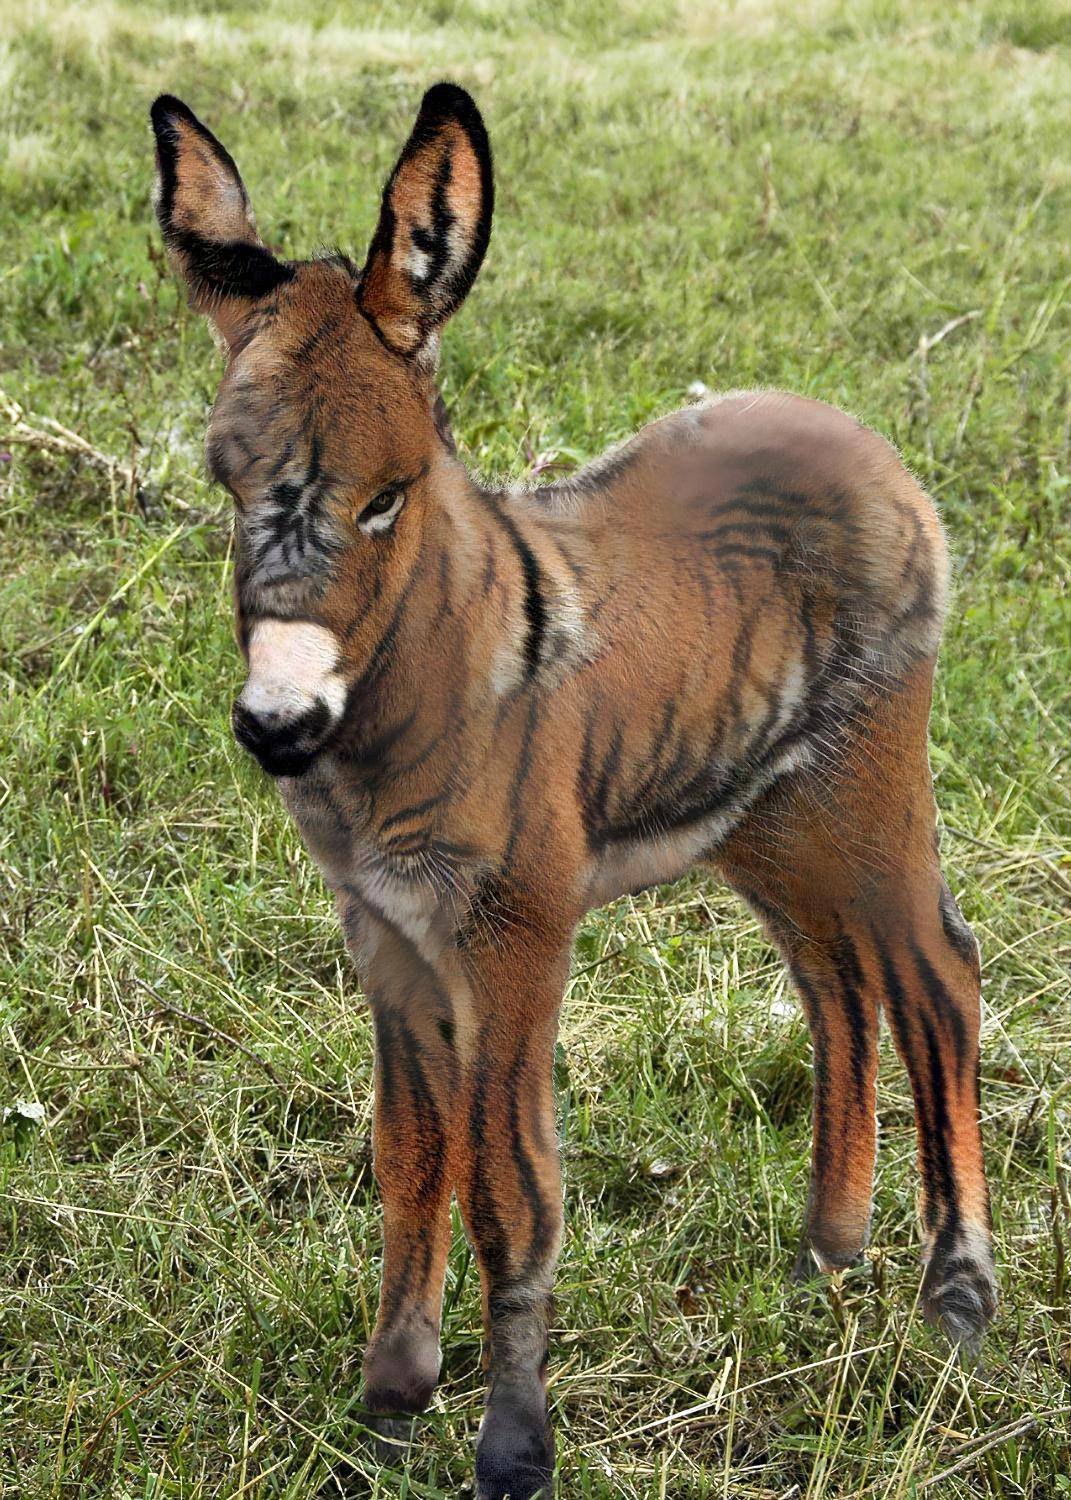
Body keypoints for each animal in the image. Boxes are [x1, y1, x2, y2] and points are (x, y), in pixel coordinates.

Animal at [150, 82, 996, 1500]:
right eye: (224, 483)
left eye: (388, 500)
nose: (277, 727)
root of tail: (854, 433)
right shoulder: (387, 938)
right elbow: (407, 1162)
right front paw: (391, 1401)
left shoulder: (516, 938)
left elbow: (511, 1189)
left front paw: (511, 1448)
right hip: (765, 820)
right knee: (836, 984)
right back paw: (828, 1255)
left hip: (869, 787)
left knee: (938, 970)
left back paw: (957, 1296)